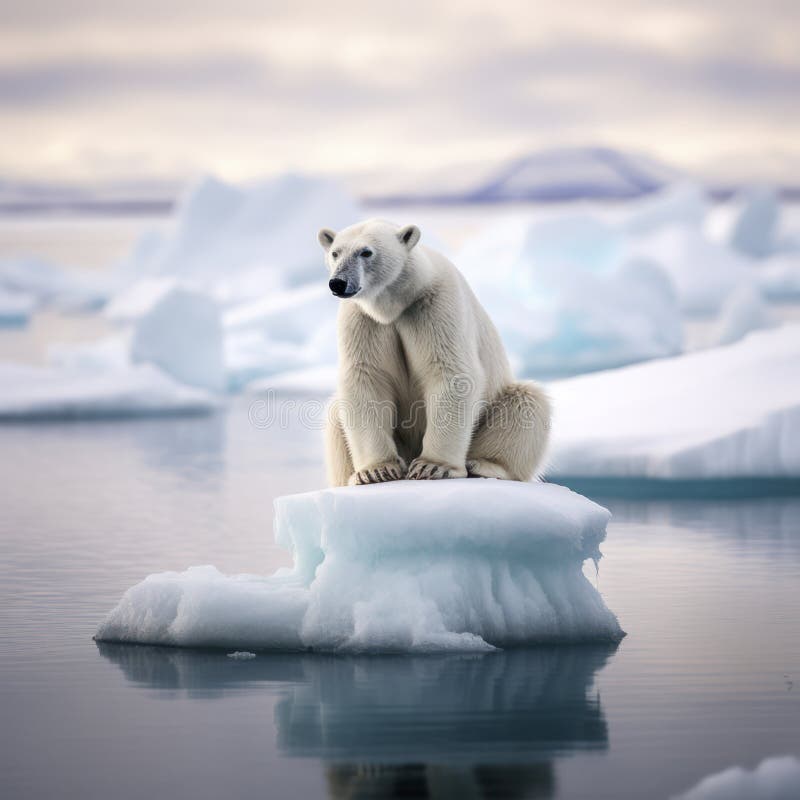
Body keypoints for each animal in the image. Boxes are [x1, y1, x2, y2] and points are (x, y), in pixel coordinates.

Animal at [318, 219, 550, 486]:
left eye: (366, 252)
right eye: (335, 253)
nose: (338, 283)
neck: (398, 303)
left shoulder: (435, 306)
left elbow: (451, 372)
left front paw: (433, 466)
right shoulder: (362, 319)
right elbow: (366, 377)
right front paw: (376, 471)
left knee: (526, 401)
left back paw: (484, 465)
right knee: (335, 414)